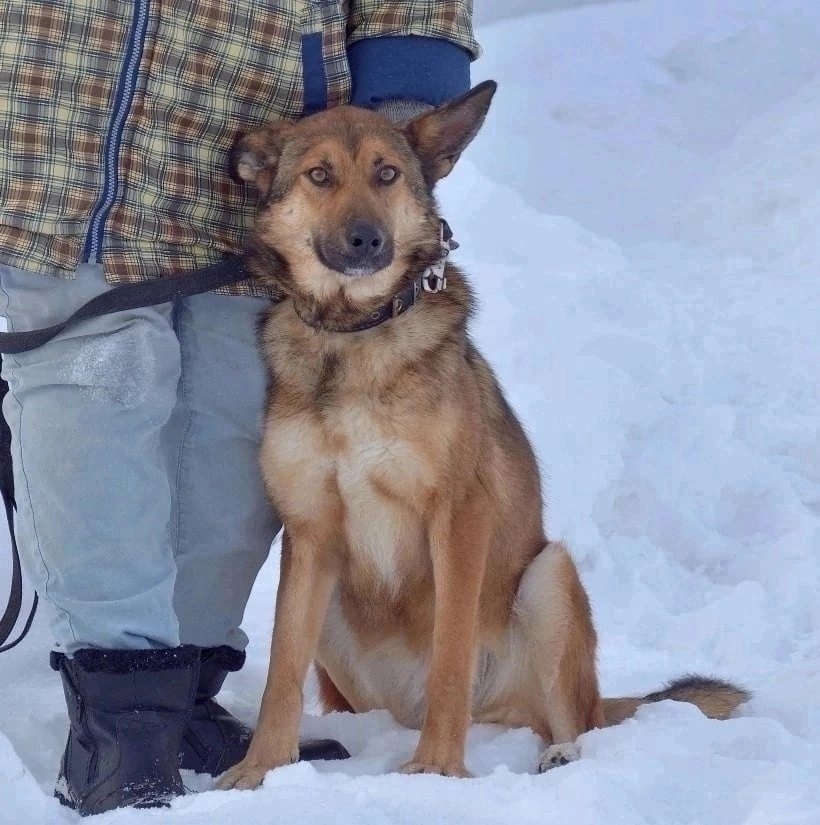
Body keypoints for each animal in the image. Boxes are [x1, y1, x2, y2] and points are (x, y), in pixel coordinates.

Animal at [215, 80, 748, 788]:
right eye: (319, 175)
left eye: (388, 174)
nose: (367, 241)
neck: (354, 337)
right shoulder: (308, 534)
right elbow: (280, 673)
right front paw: (260, 771)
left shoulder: (459, 514)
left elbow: (451, 656)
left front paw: (438, 769)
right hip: (335, 612)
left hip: (549, 577)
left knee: (572, 719)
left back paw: (557, 754)